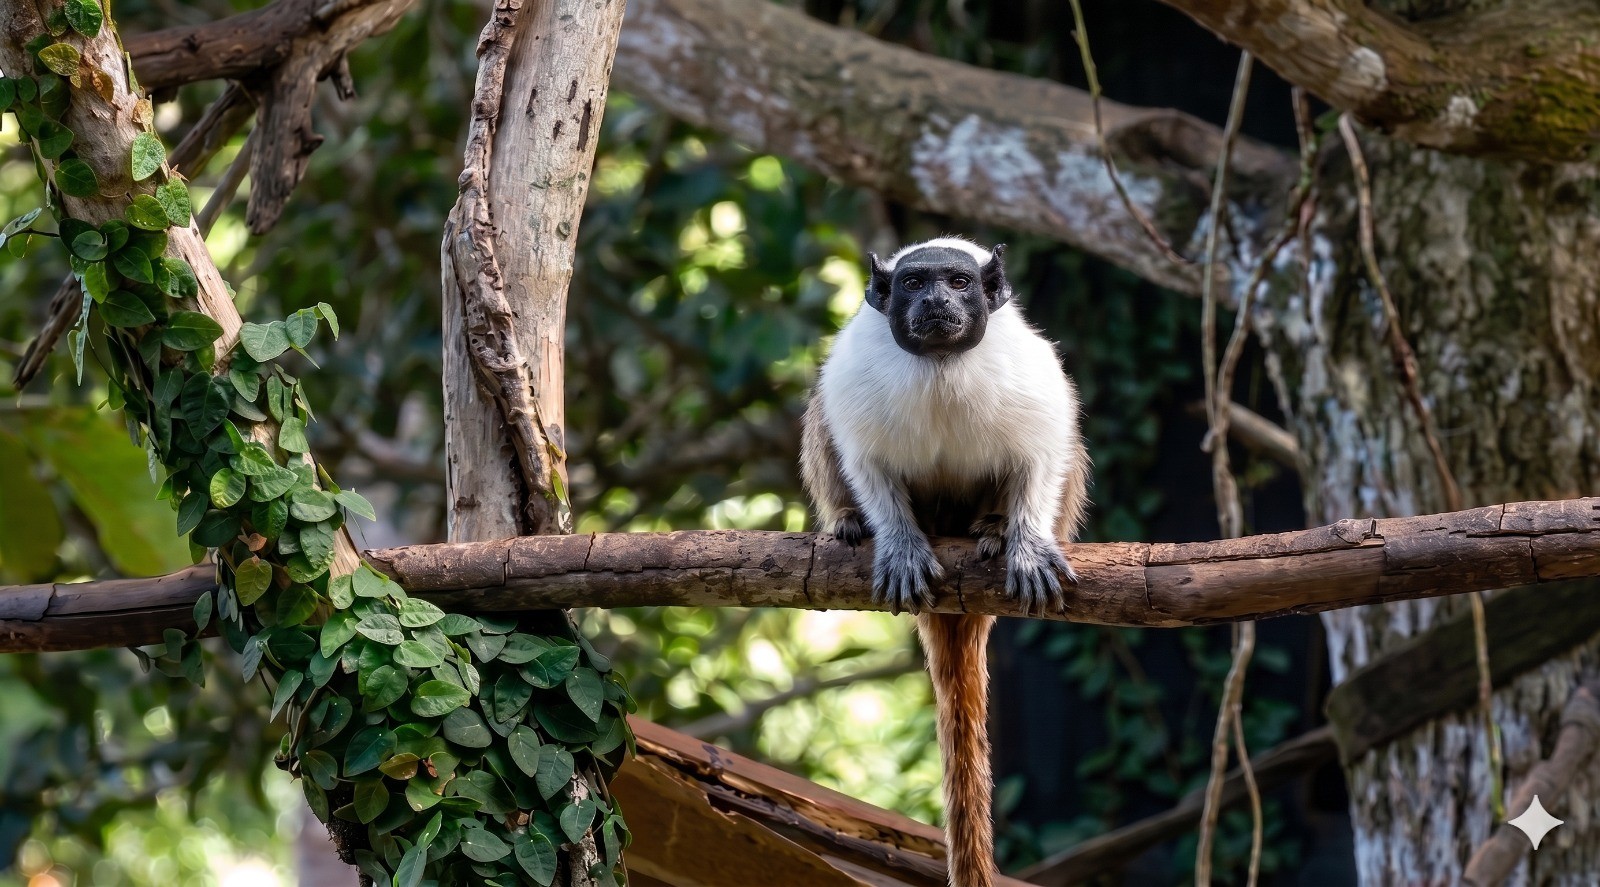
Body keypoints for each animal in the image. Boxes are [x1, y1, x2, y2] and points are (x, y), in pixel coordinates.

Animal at [801, 237, 1089, 887]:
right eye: (914, 284)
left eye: (957, 283)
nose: (935, 301)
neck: (939, 365)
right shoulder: (855, 368)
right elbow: (865, 458)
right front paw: (897, 543)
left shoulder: (1029, 368)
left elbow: (1044, 448)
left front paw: (1025, 542)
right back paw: (850, 522)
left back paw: (992, 530)